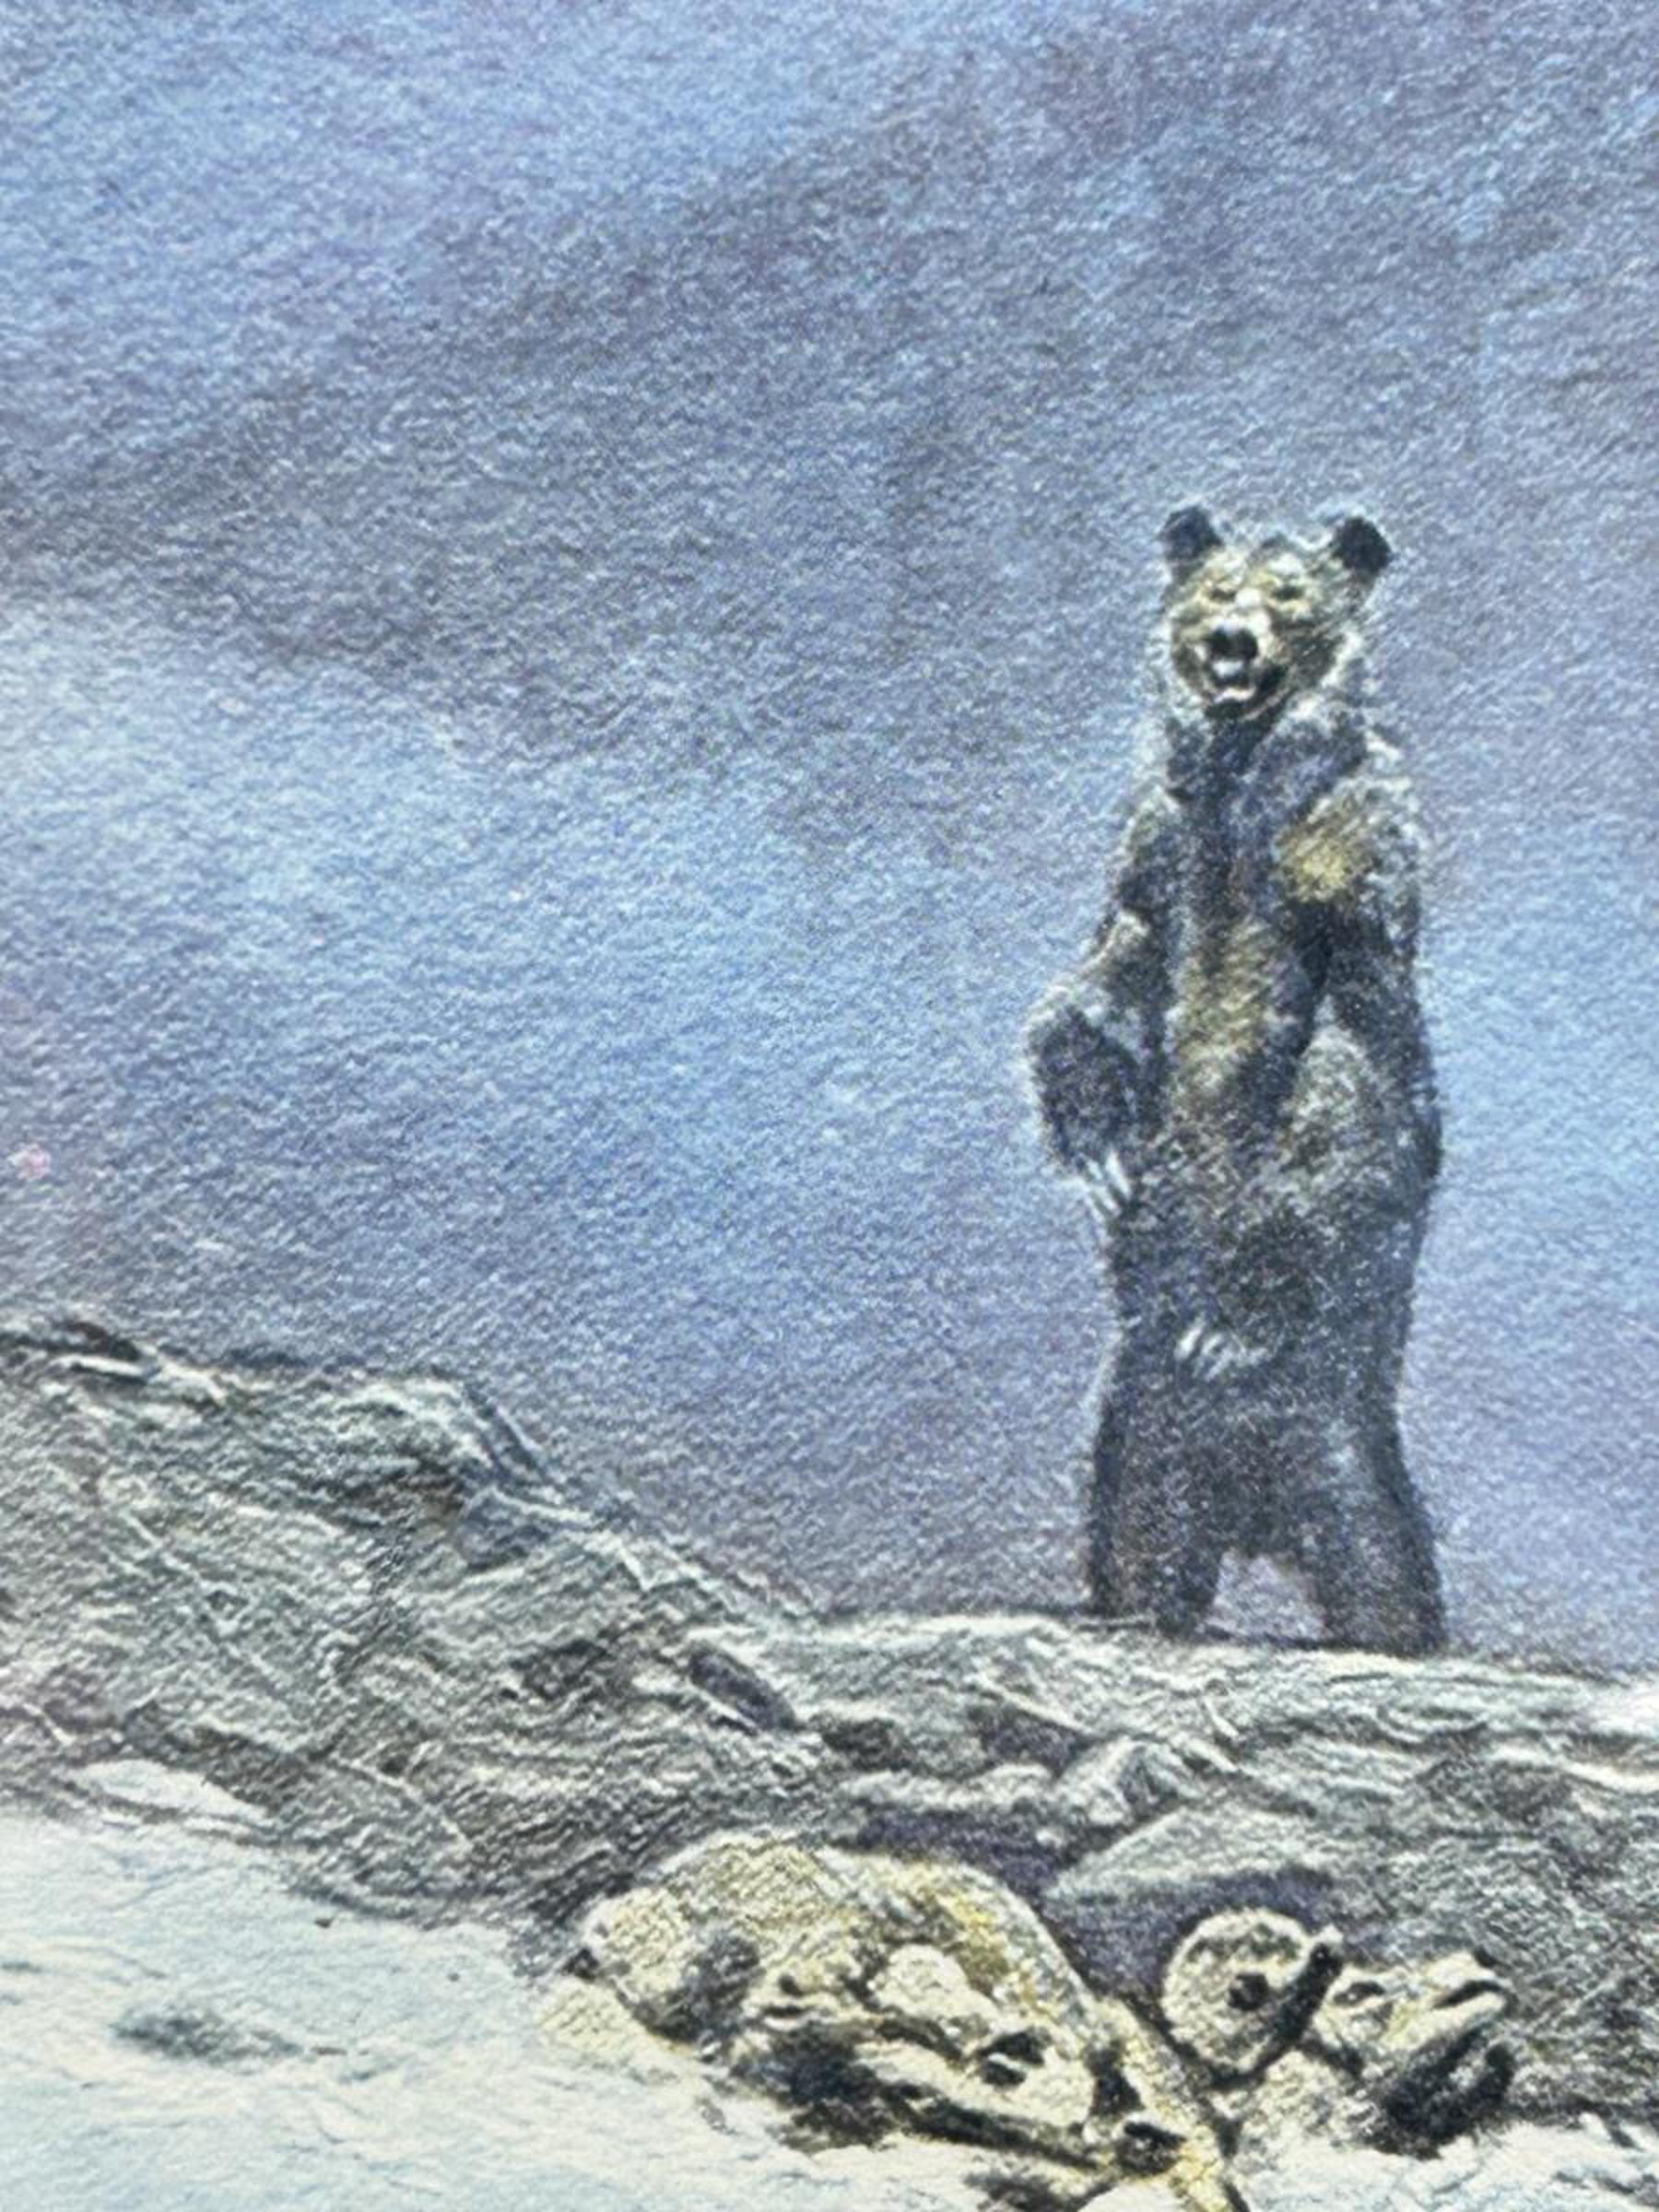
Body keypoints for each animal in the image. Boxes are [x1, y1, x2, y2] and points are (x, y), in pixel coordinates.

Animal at [1027, 506, 1445, 1655]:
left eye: (1291, 593)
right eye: (1217, 588)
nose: (1232, 644)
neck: (1243, 789)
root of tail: (1255, 1508)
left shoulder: (1350, 864)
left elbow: (1351, 1076)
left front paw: (1240, 1310)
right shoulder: (1160, 846)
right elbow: (1109, 975)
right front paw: (1101, 1152)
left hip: (1337, 1429)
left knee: (1383, 1564)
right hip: (1143, 1426)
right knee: (1137, 1540)